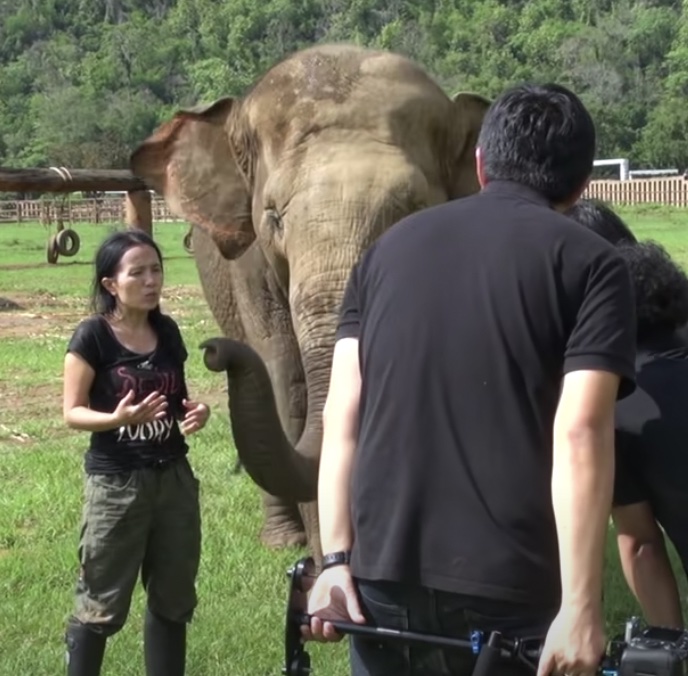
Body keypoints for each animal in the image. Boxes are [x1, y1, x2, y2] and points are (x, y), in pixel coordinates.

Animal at [130, 42, 491, 561]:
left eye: (414, 210)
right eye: (274, 218)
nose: (213, 351)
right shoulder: (252, 270)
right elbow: (290, 384)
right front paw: (326, 567)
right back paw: (282, 540)